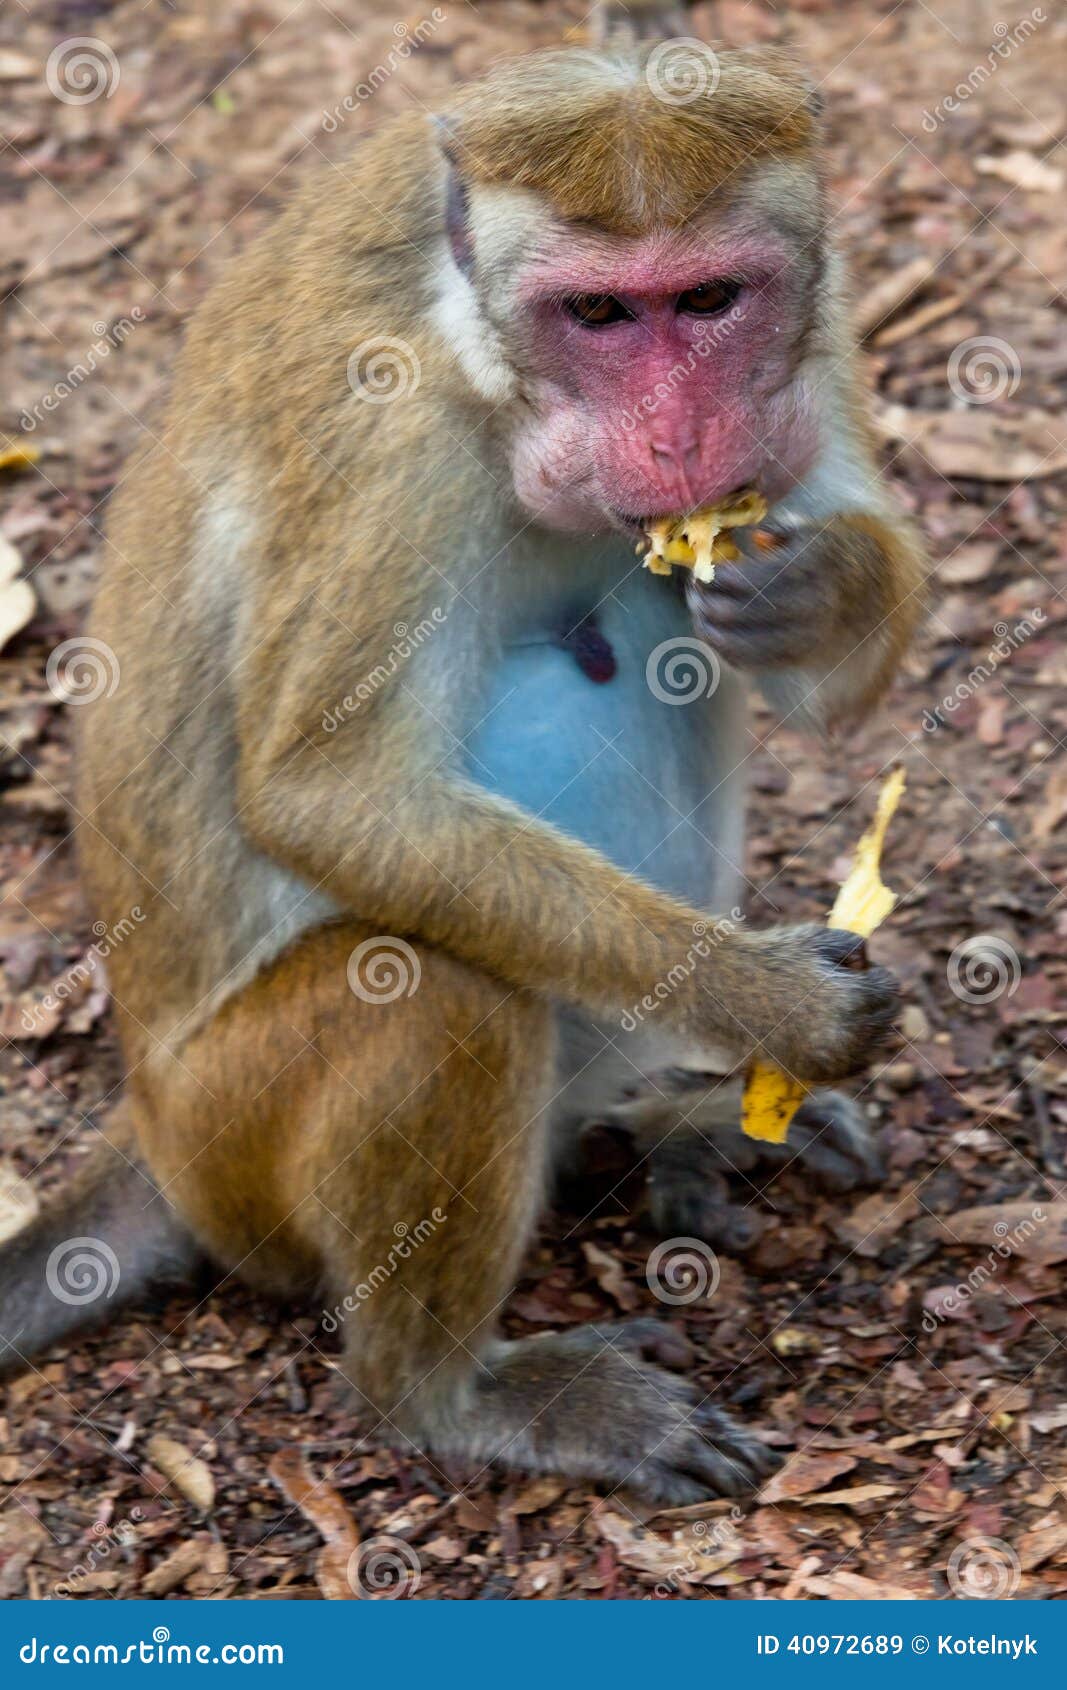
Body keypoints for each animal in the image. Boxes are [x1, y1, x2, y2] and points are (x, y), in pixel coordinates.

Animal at [0, 40, 924, 1505]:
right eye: (595, 313)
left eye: (707, 300)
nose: (680, 443)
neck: (481, 355)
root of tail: (147, 1122)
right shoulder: (387, 443)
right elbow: (328, 795)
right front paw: (773, 1002)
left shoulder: (810, 333)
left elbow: (817, 666)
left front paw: (819, 585)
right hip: (230, 1140)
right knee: (432, 988)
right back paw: (453, 1394)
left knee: (652, 630)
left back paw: (665, 1116)